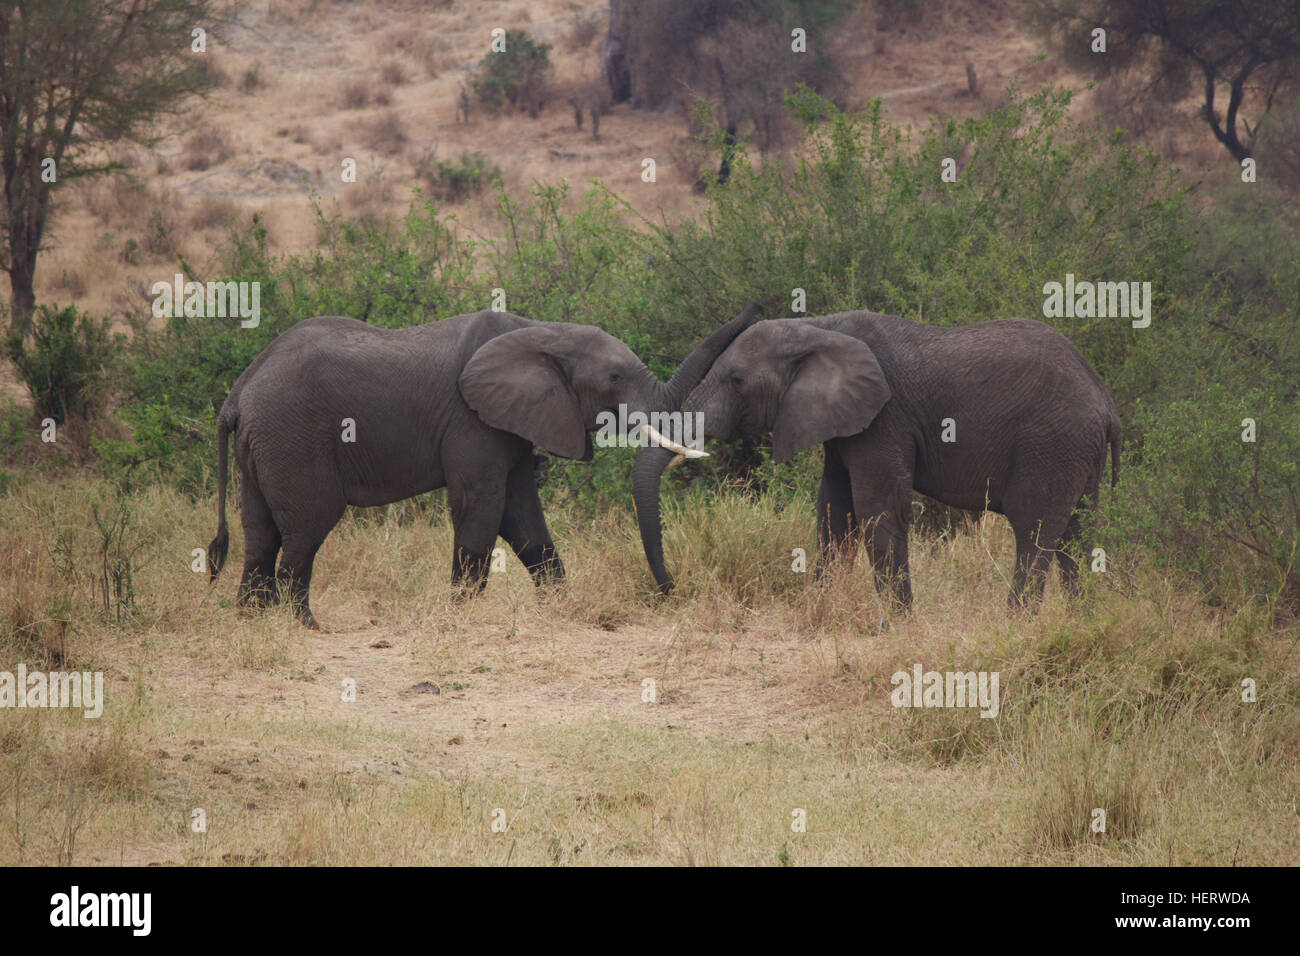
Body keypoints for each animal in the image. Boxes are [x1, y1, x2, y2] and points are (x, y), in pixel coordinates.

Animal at [207, 304, 759, 627]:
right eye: (615, 377)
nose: (672, 591)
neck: (542, 332)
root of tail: (238, 394)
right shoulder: (471, 418)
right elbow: (482, 505)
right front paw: (463, 616)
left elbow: (524, 518)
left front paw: (559, 610)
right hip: (293, 439)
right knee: (305, 527)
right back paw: (304, 626)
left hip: (264, 445)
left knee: (260, 531)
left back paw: (250, 620)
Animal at [633, 311, 1122, 609]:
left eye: (736, 380)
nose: (673, 589)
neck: (818, 327)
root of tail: (1106, 401)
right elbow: (833, 508)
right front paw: (821, 611)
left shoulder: (885, 419)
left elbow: (878, 508)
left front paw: (897, 627)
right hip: (1076, 452)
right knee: (1077, 533)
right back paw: (1082, 621)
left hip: (1052, 443)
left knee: (1034, 530)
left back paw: (1016, 625)